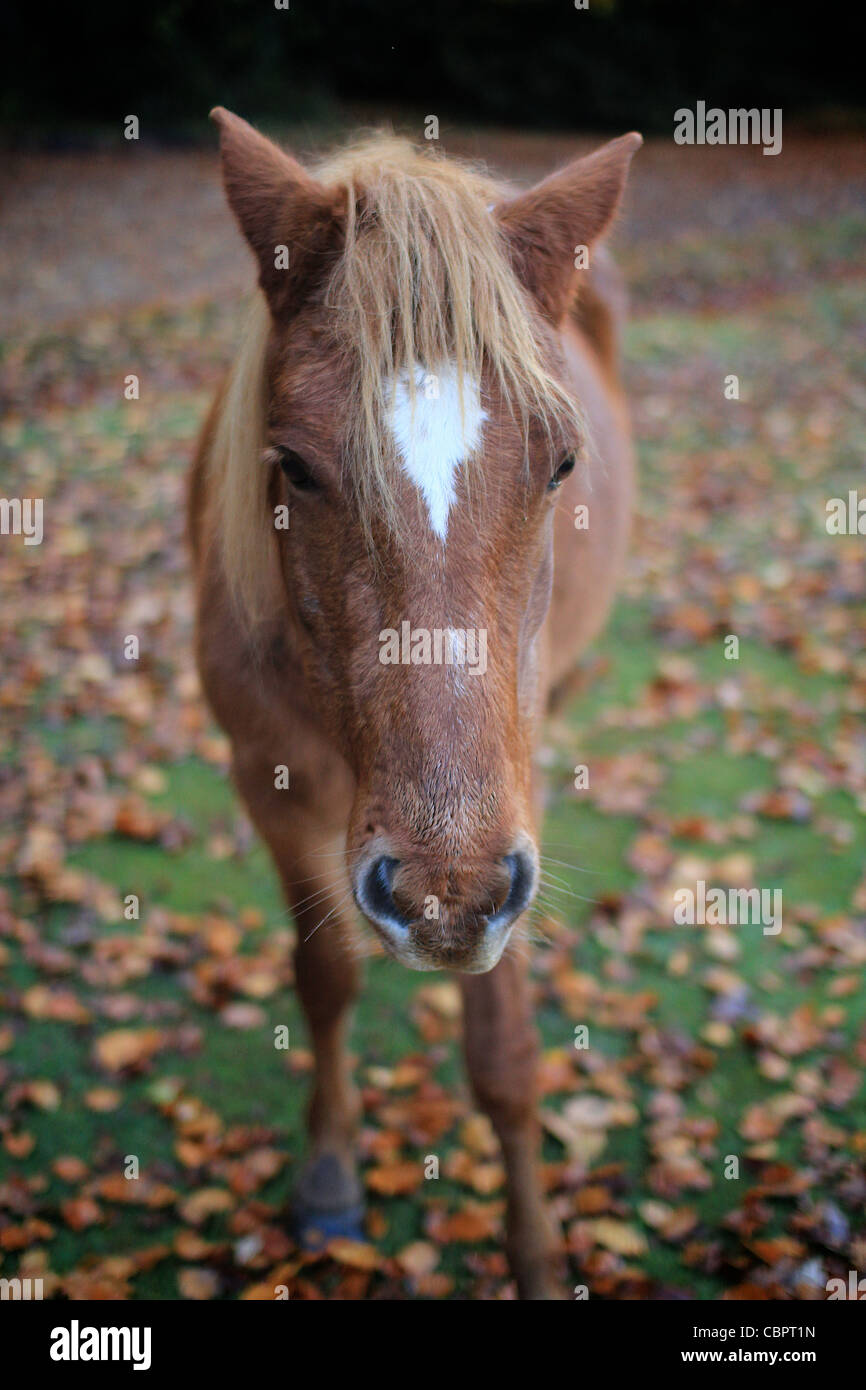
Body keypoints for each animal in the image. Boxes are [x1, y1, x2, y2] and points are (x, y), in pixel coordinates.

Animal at [189, 108, 640, 1299]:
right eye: (292, 466)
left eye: (560, 462)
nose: (444, 894)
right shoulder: (268, 784)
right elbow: (324, 976)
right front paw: (329, 1174)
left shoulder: (513, 817)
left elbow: (505, 1055)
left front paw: (536, 1256)